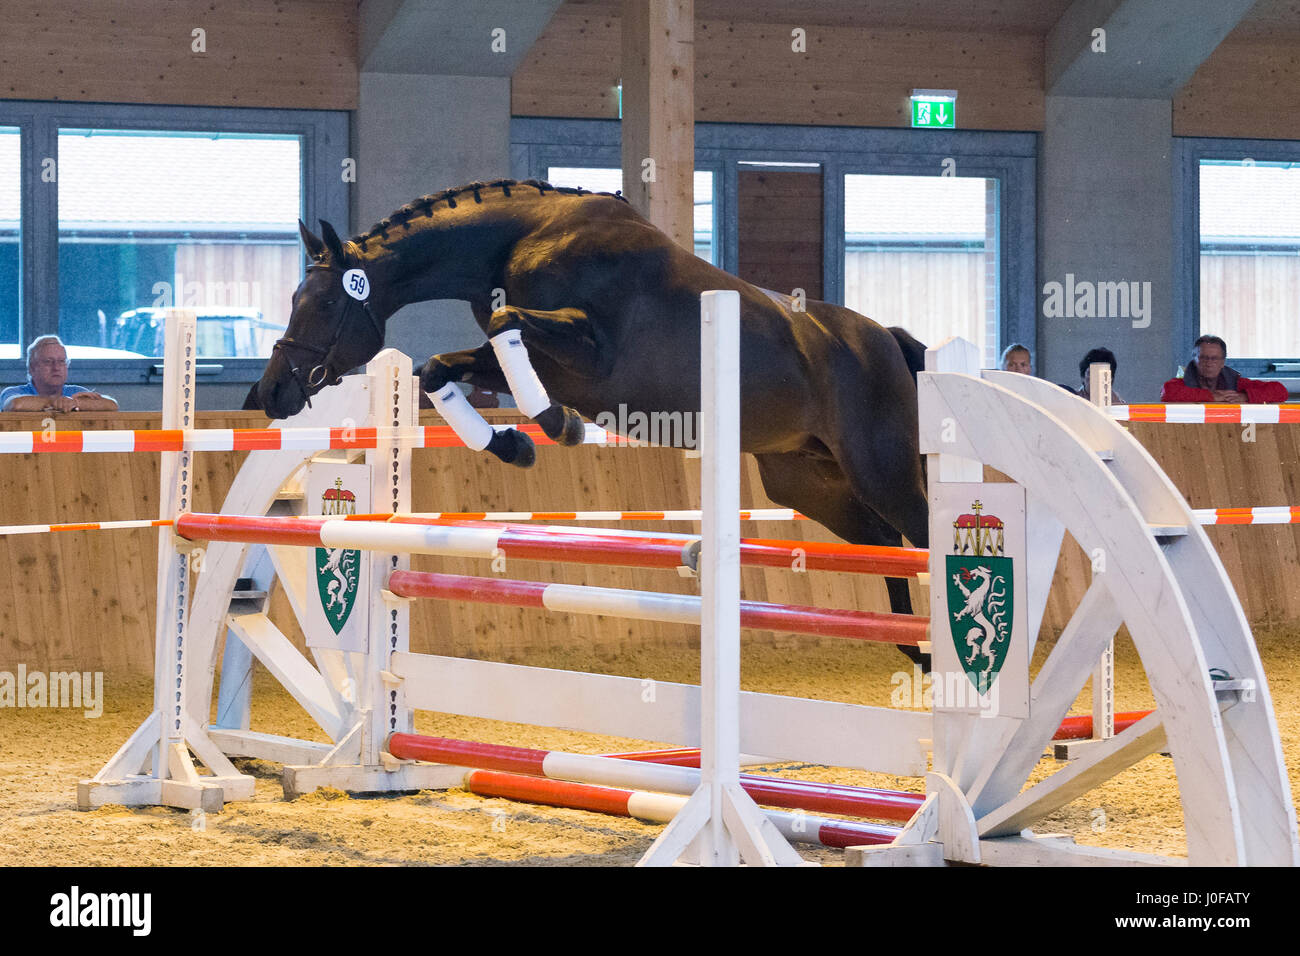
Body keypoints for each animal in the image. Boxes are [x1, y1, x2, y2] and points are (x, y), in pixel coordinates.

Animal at [252, 178, 930, 666]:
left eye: (325, 303)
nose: (271, 391)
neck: (524, 237)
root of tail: (887, 340)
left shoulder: (589, 353)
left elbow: (505, 327)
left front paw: (556, 425)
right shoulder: (538, 364)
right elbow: (439, 367)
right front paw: (513, 444)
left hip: (880, 469)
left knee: (918, 532)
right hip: (807, 480)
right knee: (881, 540)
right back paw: (911, 646)